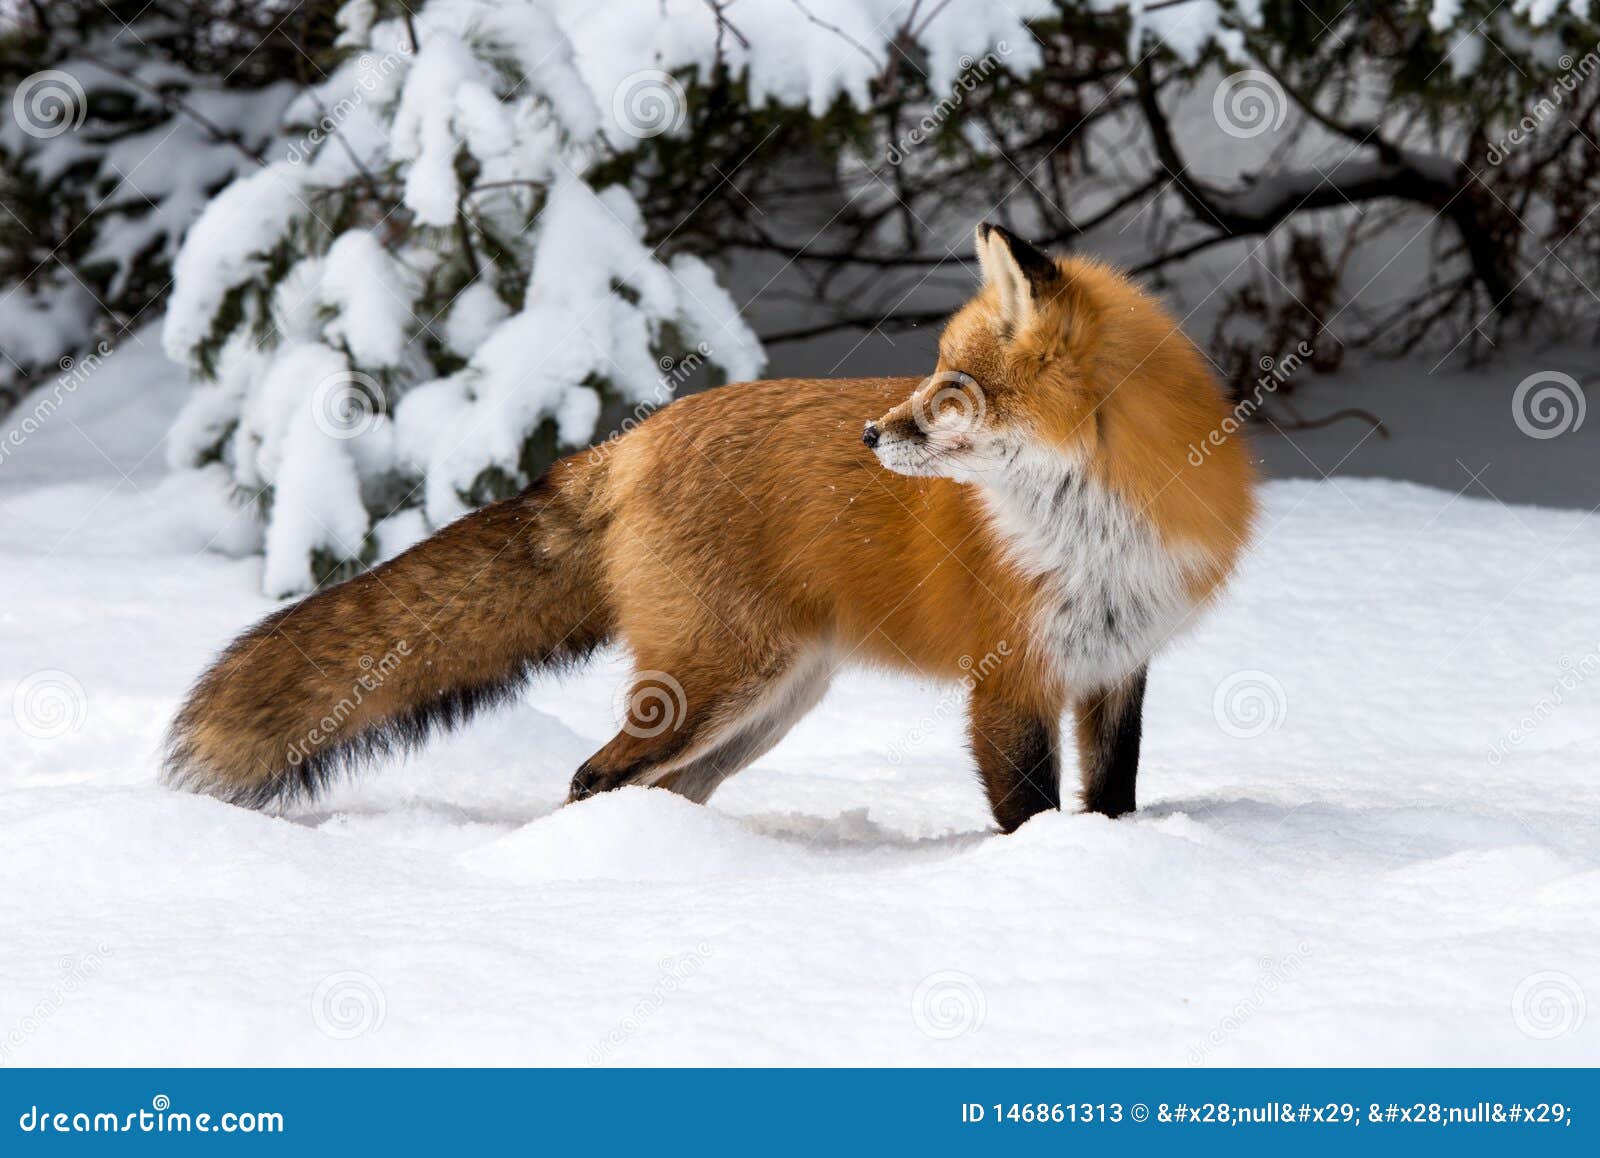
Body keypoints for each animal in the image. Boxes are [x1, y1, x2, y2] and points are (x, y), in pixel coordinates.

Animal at [164, 223, 1256, 833]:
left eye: (953, 388)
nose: (871, 434)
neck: (1094, 526)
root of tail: (629, 442)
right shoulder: (1008, 678)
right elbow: (1026, 816)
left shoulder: (1112, 666)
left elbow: (1109, 798)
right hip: (715, 687)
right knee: (591, 778)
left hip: (765, 705)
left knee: (656, 792)